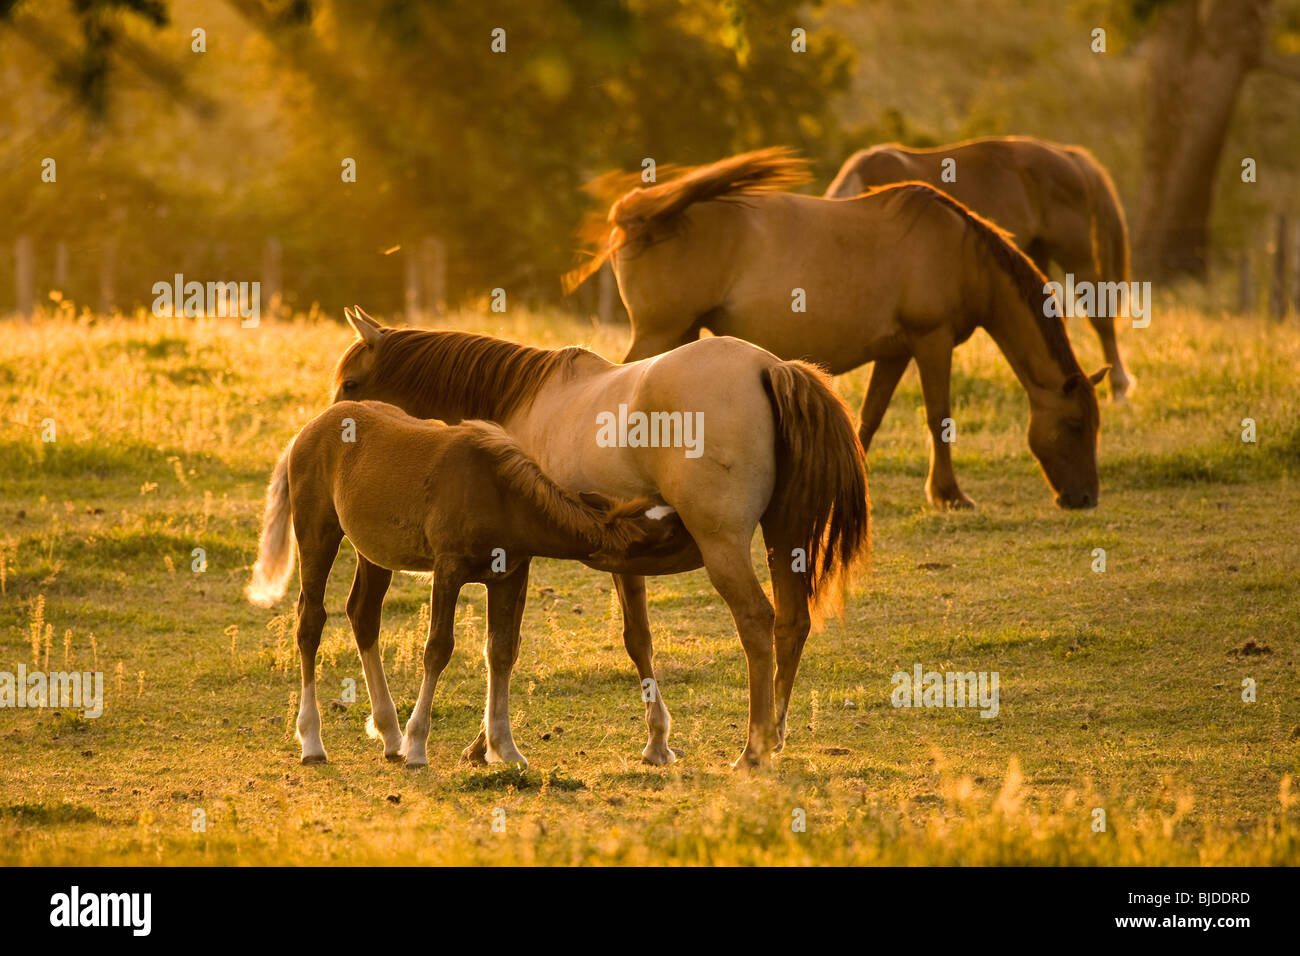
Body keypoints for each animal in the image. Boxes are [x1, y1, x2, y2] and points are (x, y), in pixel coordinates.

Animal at [245, 400, 687, 768]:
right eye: (671, 533)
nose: (698, 536)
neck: (501, 494)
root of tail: (307, 429)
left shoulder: (509, 576)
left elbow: (502, 651)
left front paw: (504, 748)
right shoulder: (449, 569)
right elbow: (438, 649)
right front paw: (419, 747)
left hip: (374, 552)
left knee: (364, 615)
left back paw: (390, 735)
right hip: (317, 533)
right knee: (310, 621)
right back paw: (314, 742)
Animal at [330, 307, 870, 768]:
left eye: (352, 382)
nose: (335, 430)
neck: (522, 400)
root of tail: (769, 368)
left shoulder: (519, 556)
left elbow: (503, 644)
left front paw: (486, 745)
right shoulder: (625, 559)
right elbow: (638, 640)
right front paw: (657, 743)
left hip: (725, 547)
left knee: (757, 622)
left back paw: (754, 750)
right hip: (785, 539)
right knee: (792, 624)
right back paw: (775, 736)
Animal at [565, 147, 1109, 511]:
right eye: (1075, 425)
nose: (1083, 498)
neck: (960, 253)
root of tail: (638, 213)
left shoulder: (895, 352)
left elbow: (870, 416)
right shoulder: (931, 342)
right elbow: (938, 415)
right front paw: (950, 494)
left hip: (677, 337)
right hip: (660, 333)